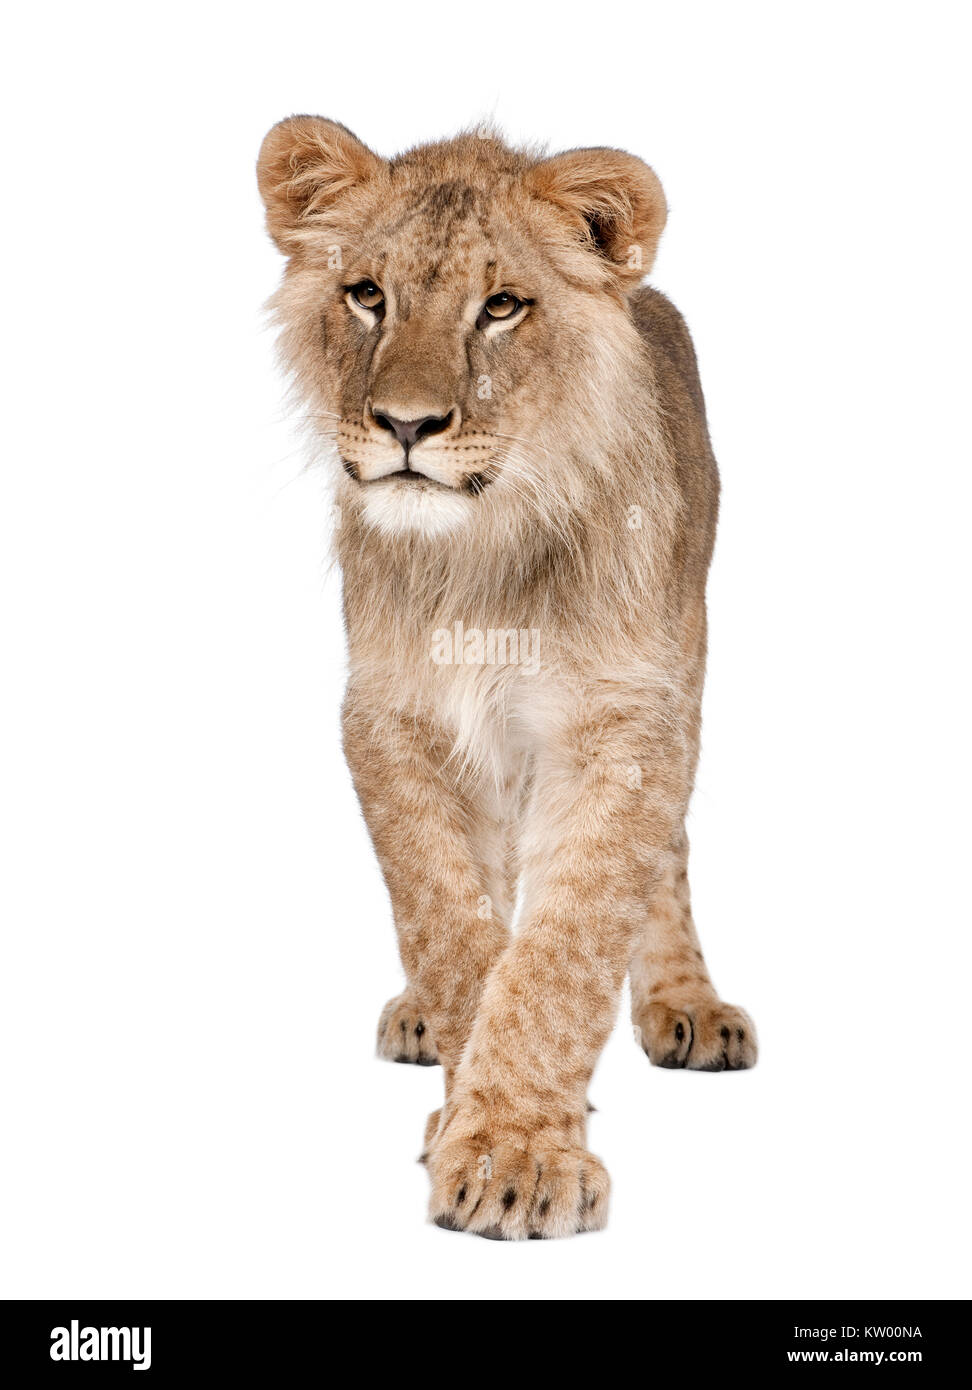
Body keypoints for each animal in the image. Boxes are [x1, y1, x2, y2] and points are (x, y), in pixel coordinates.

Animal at [257, 117, 757, 1239]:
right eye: (367, 294)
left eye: (501, 307)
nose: (405, 424)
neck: (482, 551)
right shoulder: (389, 719)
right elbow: (453, 926)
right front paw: (473, 1120)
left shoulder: (625, 726)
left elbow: (565, 944)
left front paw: (520, 1155)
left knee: (669, 858)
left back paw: (688, 1005)